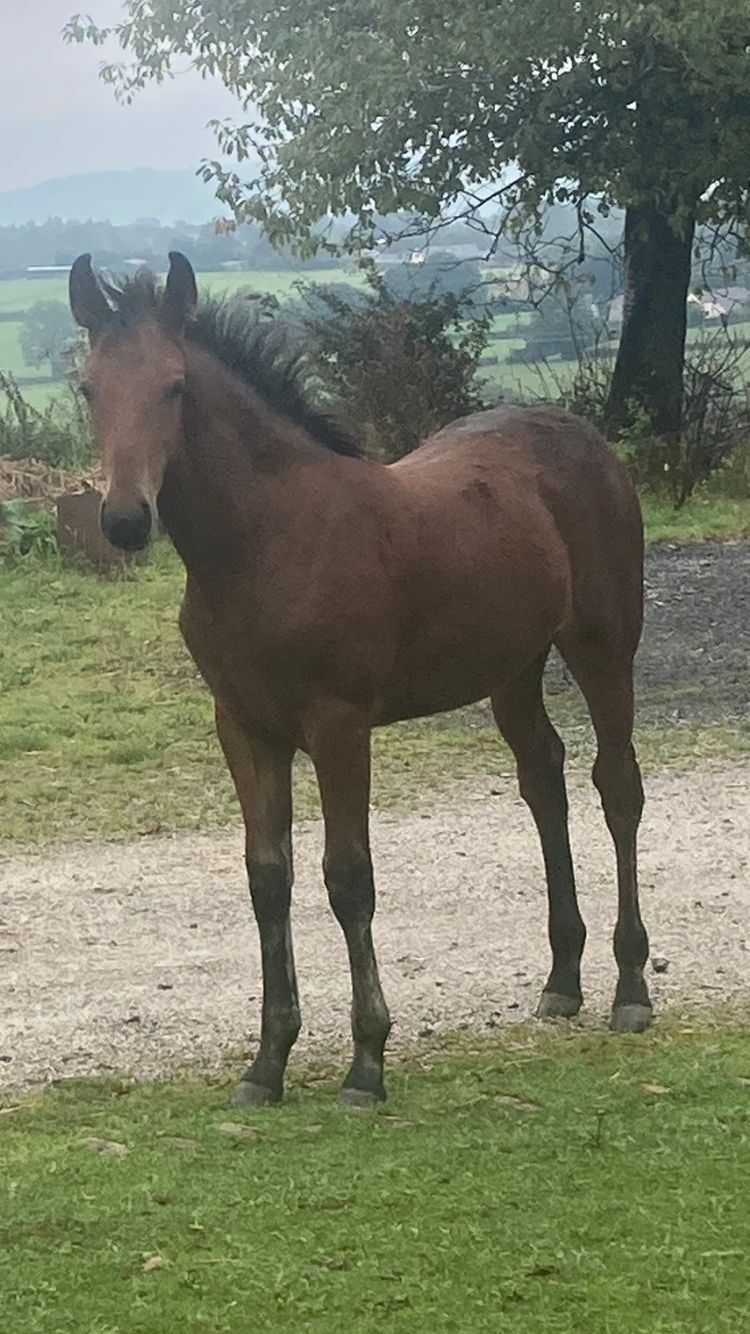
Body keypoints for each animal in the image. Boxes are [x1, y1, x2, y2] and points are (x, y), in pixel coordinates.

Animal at [69, 251, 651, 1107]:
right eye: (88, 387)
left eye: (174, 385)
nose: (124, 520)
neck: (264, 546)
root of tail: (587, 440)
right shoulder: (244, 727)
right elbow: (267, 877)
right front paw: (266, 1063)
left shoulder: (338, 724)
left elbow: (347, 876)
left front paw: (367, 1062)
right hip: (512, 666)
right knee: (544, 779)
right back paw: (562, 979)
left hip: (602, 646)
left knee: (617, 786)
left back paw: (631, 989)